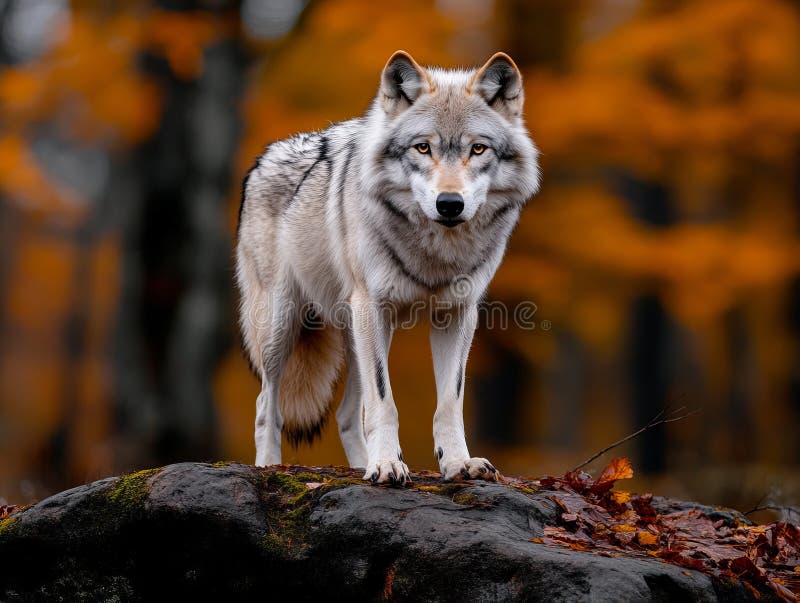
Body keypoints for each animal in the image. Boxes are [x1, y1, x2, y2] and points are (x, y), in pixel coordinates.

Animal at [236, 51, 540, 484]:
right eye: (423, 148)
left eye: (478, 149)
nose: (450, 204)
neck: (436, 252)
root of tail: (263, 157)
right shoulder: (373, 309)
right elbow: (384, 400)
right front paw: (386, 464)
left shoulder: (457, 315)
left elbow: (450, 403)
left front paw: (458, 463)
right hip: (284, 325)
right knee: (267, 405)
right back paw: (270, 467)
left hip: (354, 334)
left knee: (347, 415)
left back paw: (361, 464)